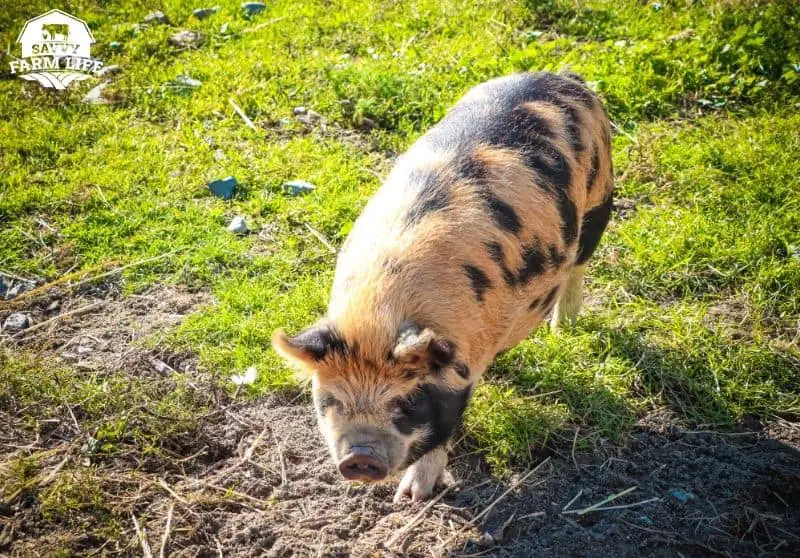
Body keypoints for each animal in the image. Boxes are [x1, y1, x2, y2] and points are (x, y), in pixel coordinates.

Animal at [273, 71, 614, 502]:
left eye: (407, 401)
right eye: (331, 399)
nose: (360, 458)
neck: (381, 312)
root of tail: (566, 78)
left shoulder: (461, 369)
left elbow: (441, 432)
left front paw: (412, 497)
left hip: (601, 197)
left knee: (579, 265)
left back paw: (562, 329)